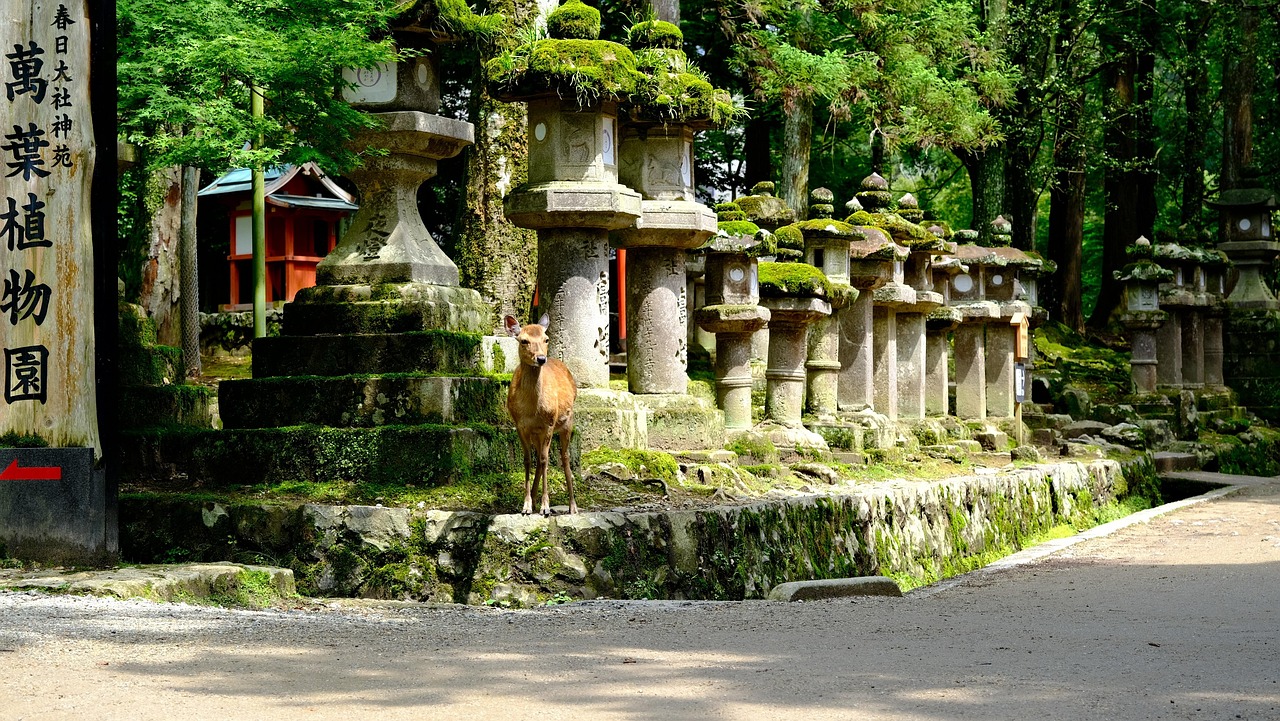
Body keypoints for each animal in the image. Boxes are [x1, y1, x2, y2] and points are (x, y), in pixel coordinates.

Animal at [504, 314, 578, 516]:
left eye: (546, 339)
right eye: (523, 340)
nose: (541, 358)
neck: (532, 409)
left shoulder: (549, 424)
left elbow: (546, 461)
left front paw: (546, 506)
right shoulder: (520, 425)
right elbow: (528, 460)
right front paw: (526, 505)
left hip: (567, 423)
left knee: (564, 458)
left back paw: (572, 506)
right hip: (536, 433)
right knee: (538, 459)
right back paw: (535, 500)